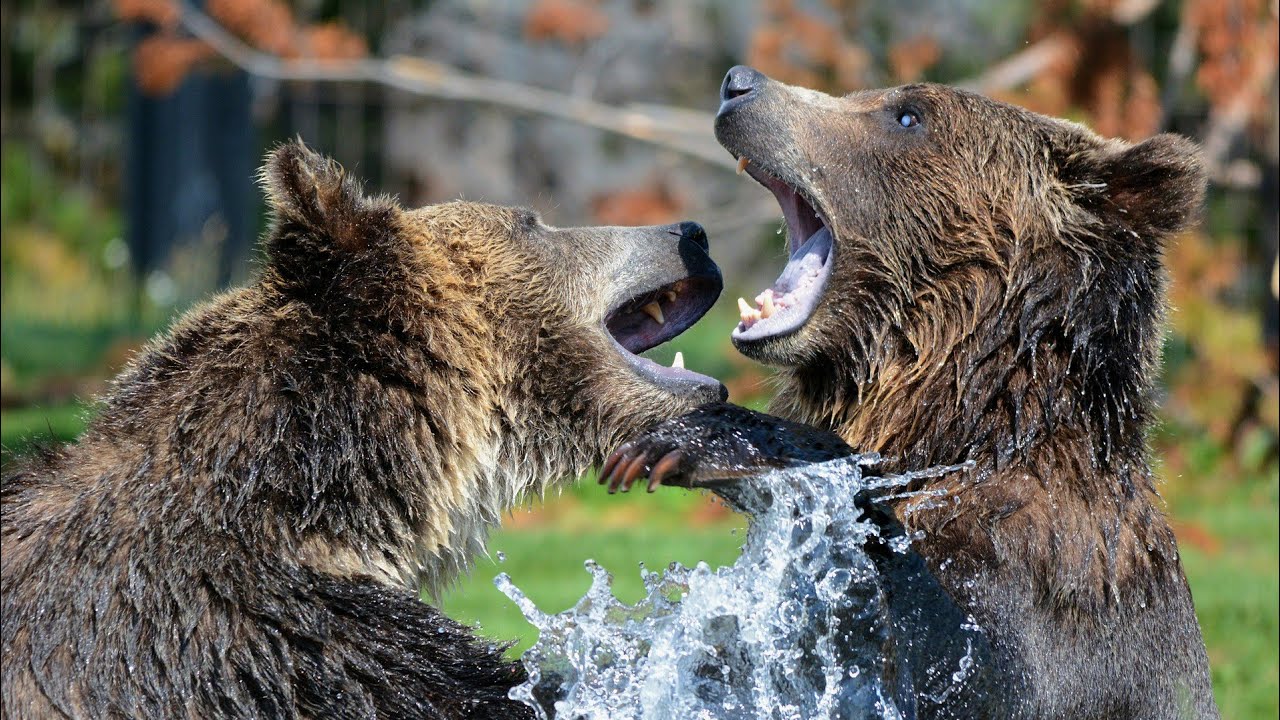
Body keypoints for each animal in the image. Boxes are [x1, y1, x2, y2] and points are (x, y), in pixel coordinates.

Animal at [603, 67, 1219, 719]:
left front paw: (685, 443)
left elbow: (953, 651)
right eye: (862, 95)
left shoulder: (1043, 594)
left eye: (907, 115)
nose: (740, 84)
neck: (963, 425)